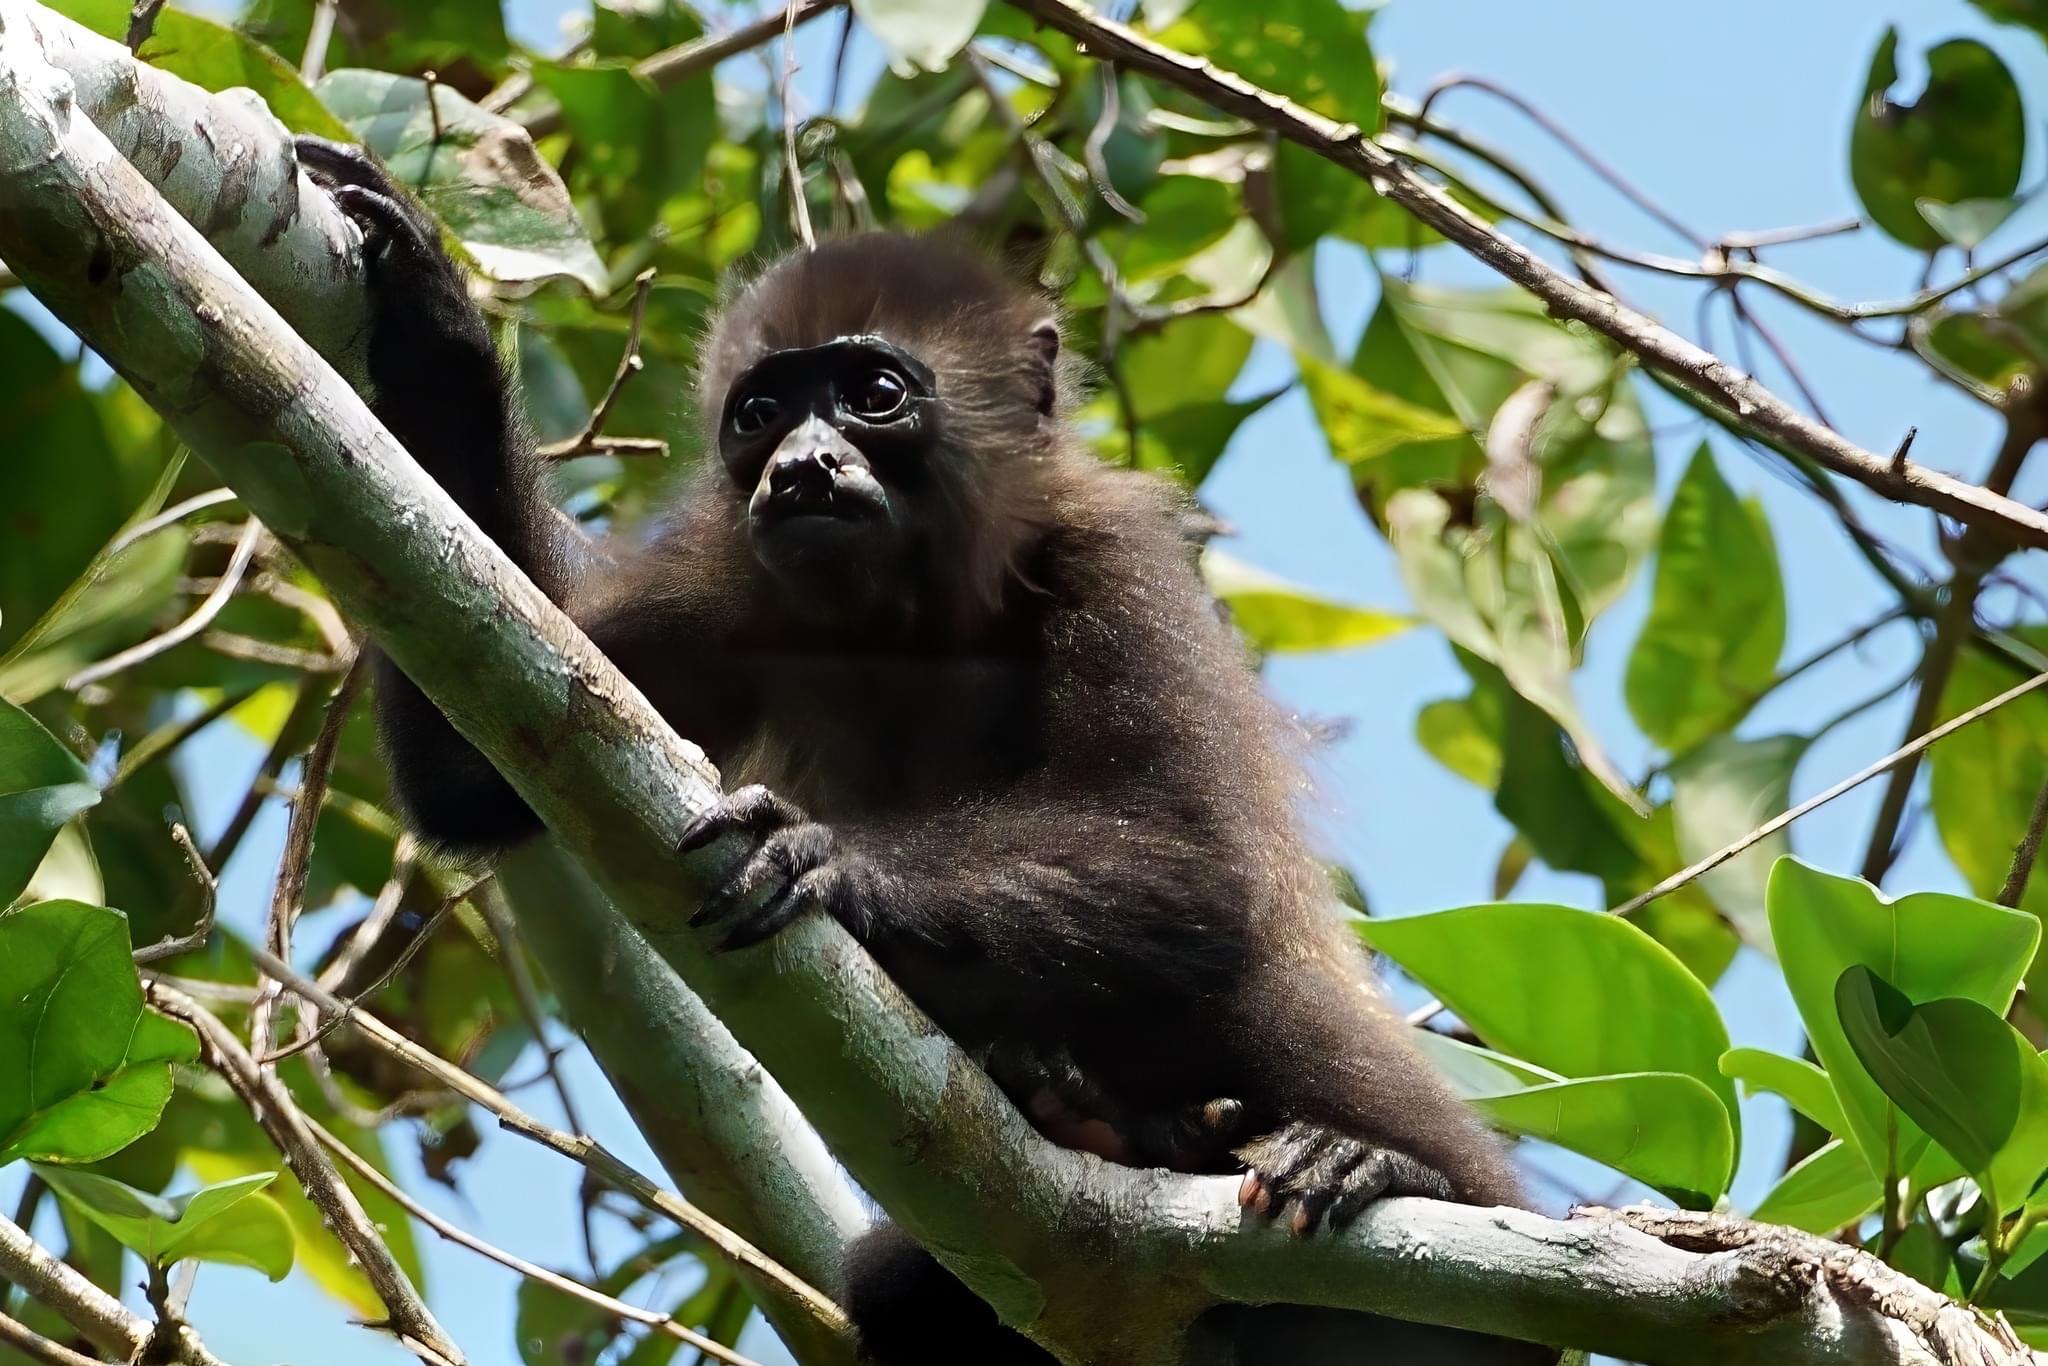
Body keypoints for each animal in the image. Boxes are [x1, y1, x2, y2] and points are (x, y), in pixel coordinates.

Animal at [297, 136, 1552, 1365]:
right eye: (760, 412)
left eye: (872, 395)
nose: (802, 464)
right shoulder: (720, 584)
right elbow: (478, 766)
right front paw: (432, 328)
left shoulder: (1112, 557)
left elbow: (1198, 864)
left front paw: (834, 859)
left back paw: (1368, 1163)